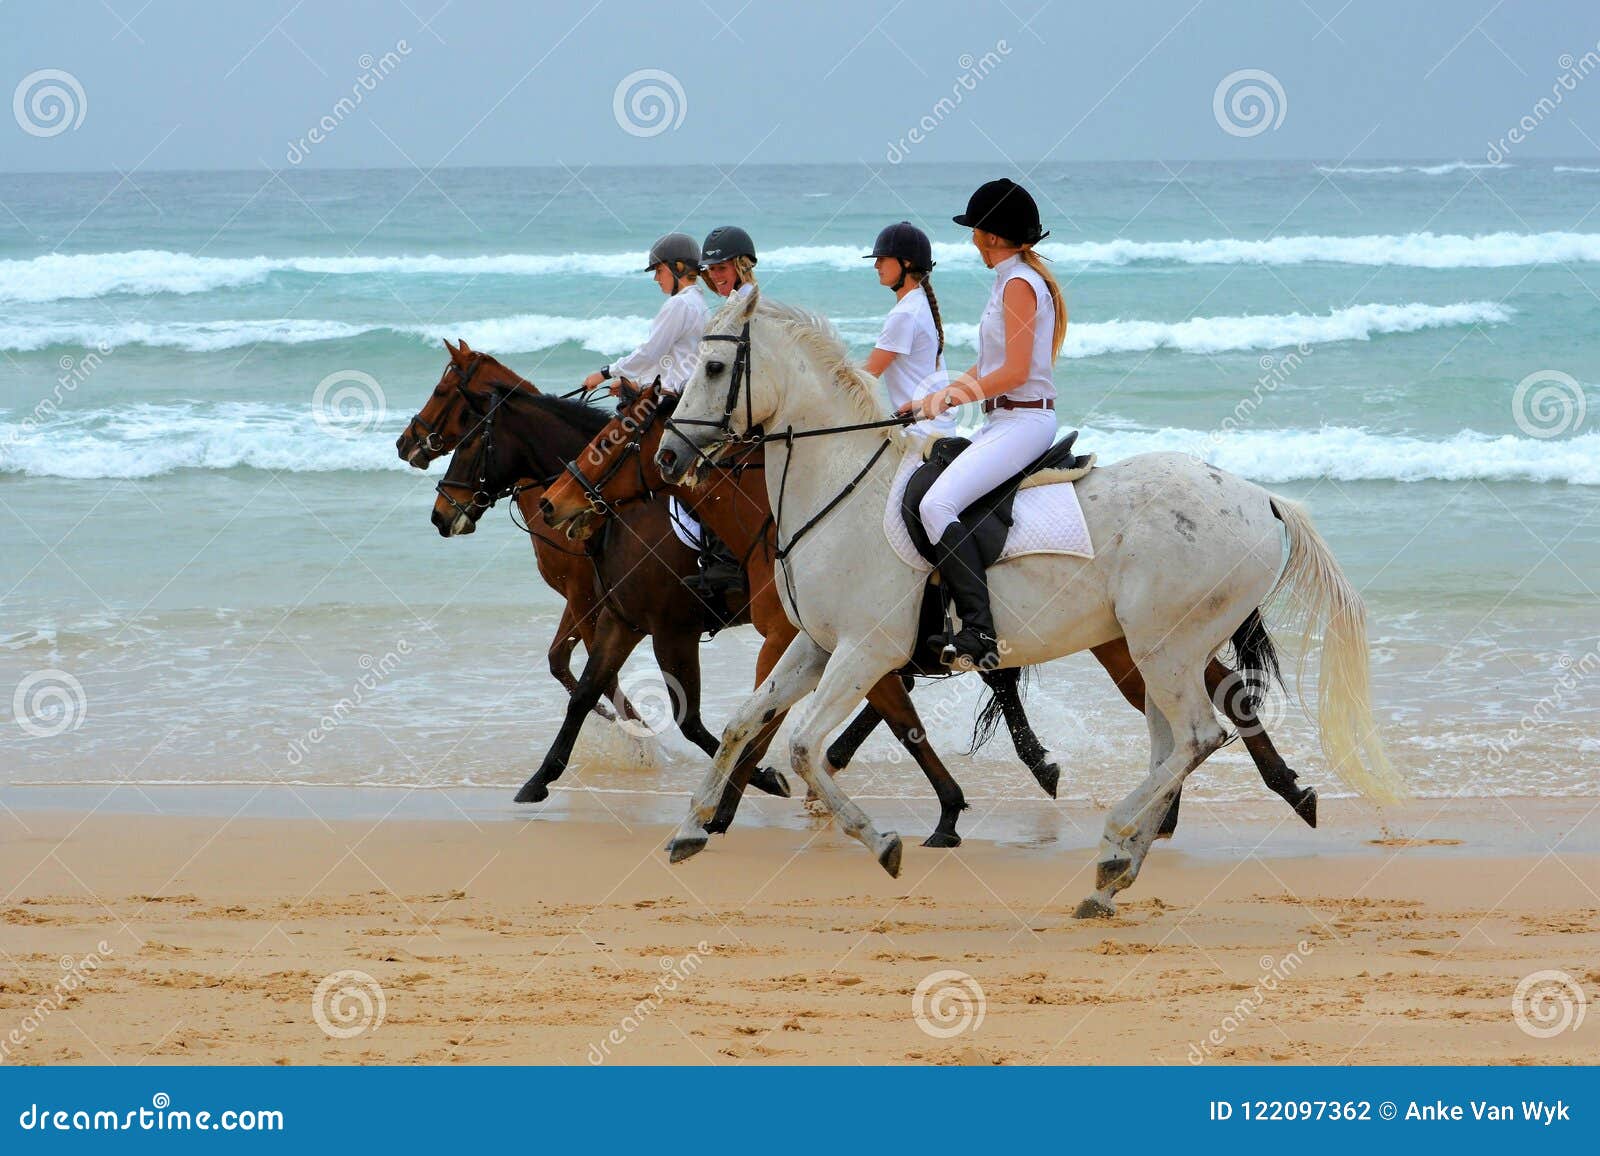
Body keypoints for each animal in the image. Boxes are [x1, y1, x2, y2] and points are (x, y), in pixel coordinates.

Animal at [655, 290, 1402, 916]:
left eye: (715, 366)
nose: (667, 458)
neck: (843, 492)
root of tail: (1260, 497)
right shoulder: (817, 646)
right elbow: (744, 724)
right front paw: (690, 829)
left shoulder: (866, 651)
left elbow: (806, 745)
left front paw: (882, 841)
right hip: (1153, 652)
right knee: (1172, 745)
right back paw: (1117, 870)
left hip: (1165, 648)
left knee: (1197, 735)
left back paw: (1120, 841)